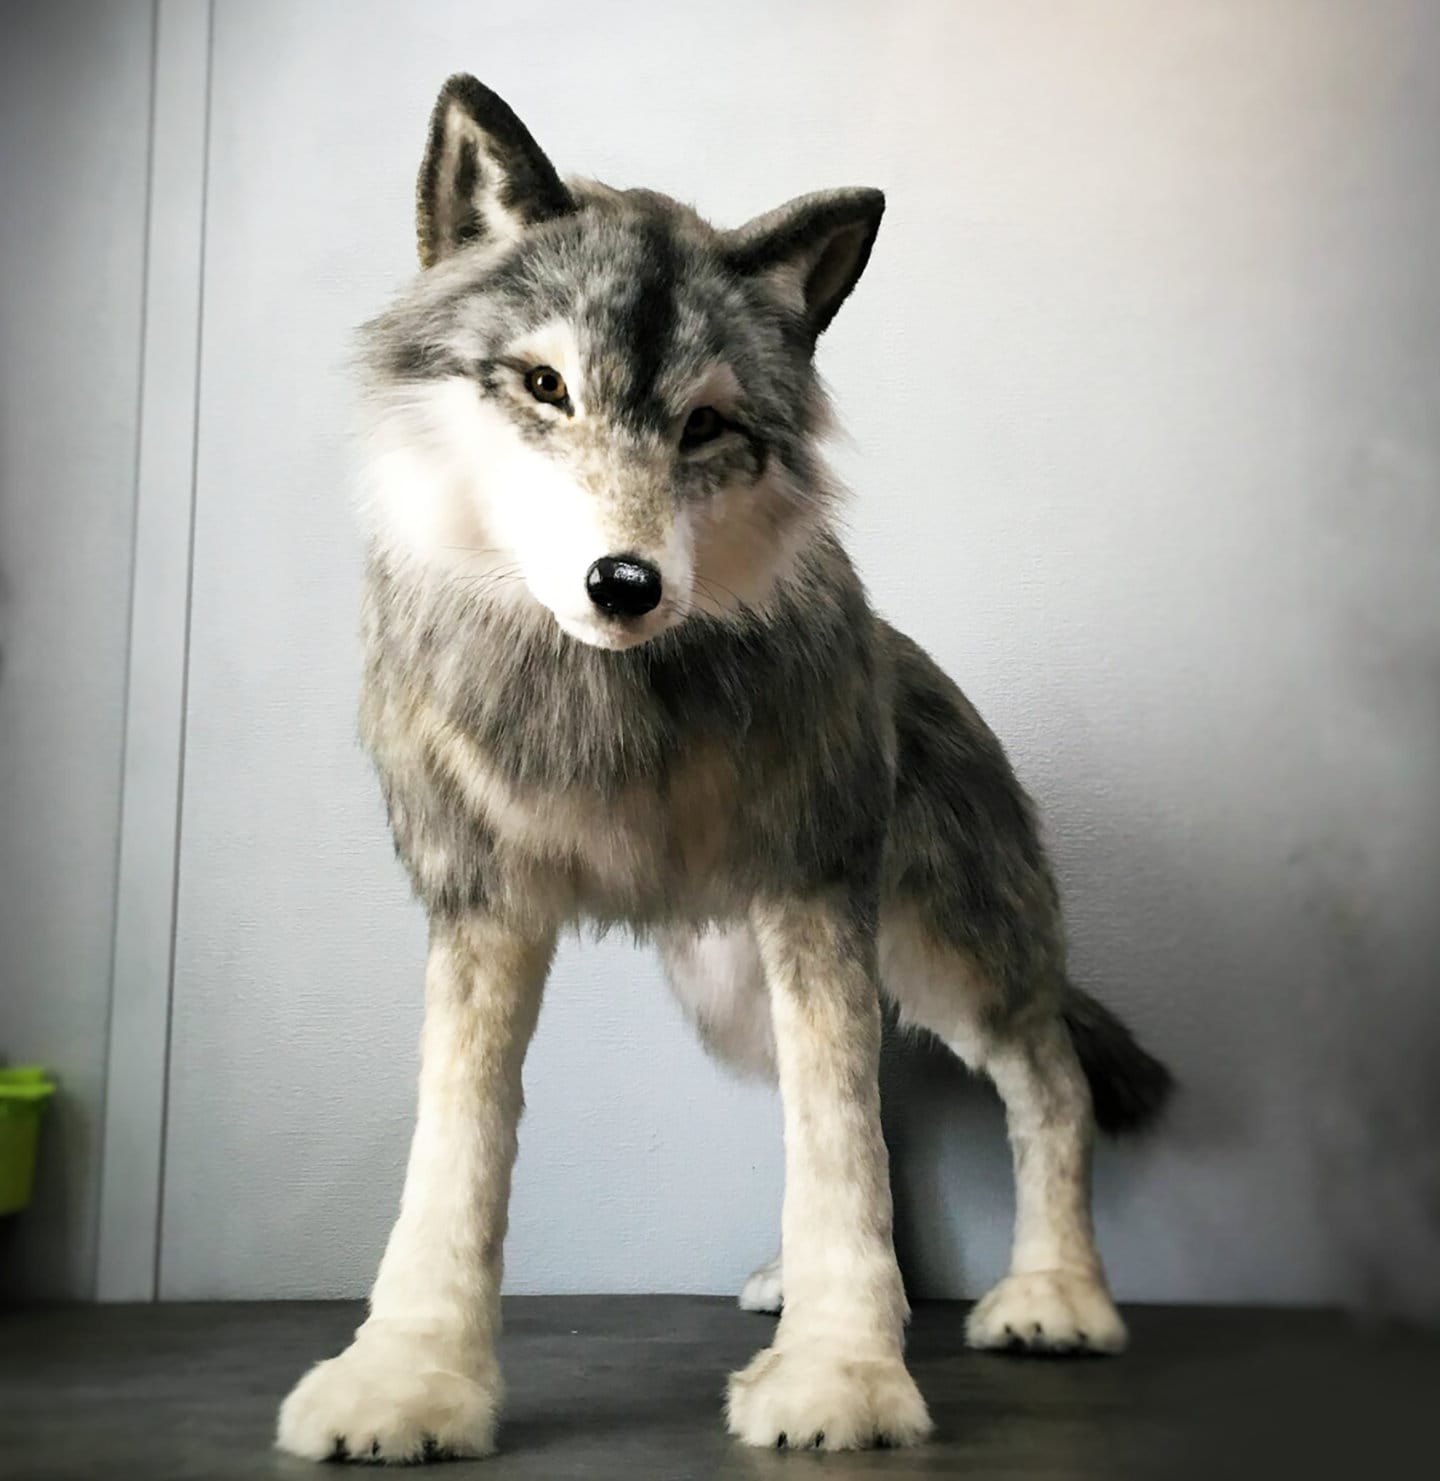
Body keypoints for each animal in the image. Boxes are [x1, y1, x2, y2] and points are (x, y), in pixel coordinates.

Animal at [276, 74, 1173, 1462]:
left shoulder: (813, 896)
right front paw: (407, 1380)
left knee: (1043, 1085)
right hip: (740, 990)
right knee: (867, 1094)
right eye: (545, 384)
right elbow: (451, 1160)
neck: (612, 714)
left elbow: (843, 1152)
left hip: (945, 960)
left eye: (706, 424)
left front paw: (841, 1377)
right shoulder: (484, 913)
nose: (625, 583)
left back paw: (1054, 1297)